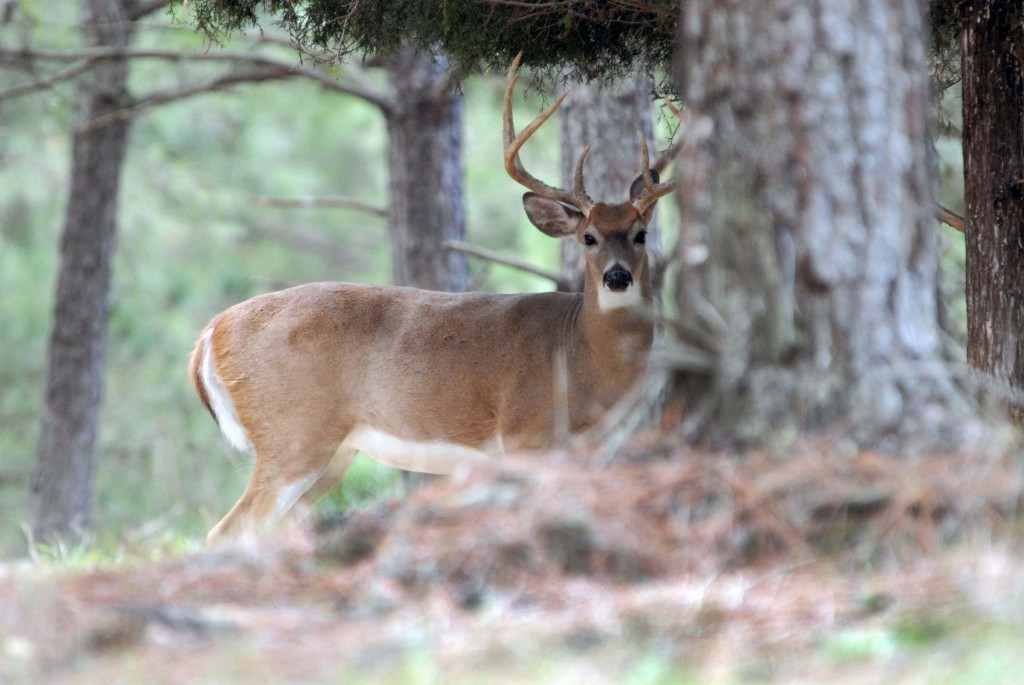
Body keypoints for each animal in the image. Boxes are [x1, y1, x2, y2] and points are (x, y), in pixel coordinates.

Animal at [189, 53, 676, 544]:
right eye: (588, 237)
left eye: (641, 233)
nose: (617, 277)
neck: (582, 355)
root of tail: (211, 333)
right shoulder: (525, 436)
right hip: (293, 434)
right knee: (226, 532)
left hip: (333, 453)